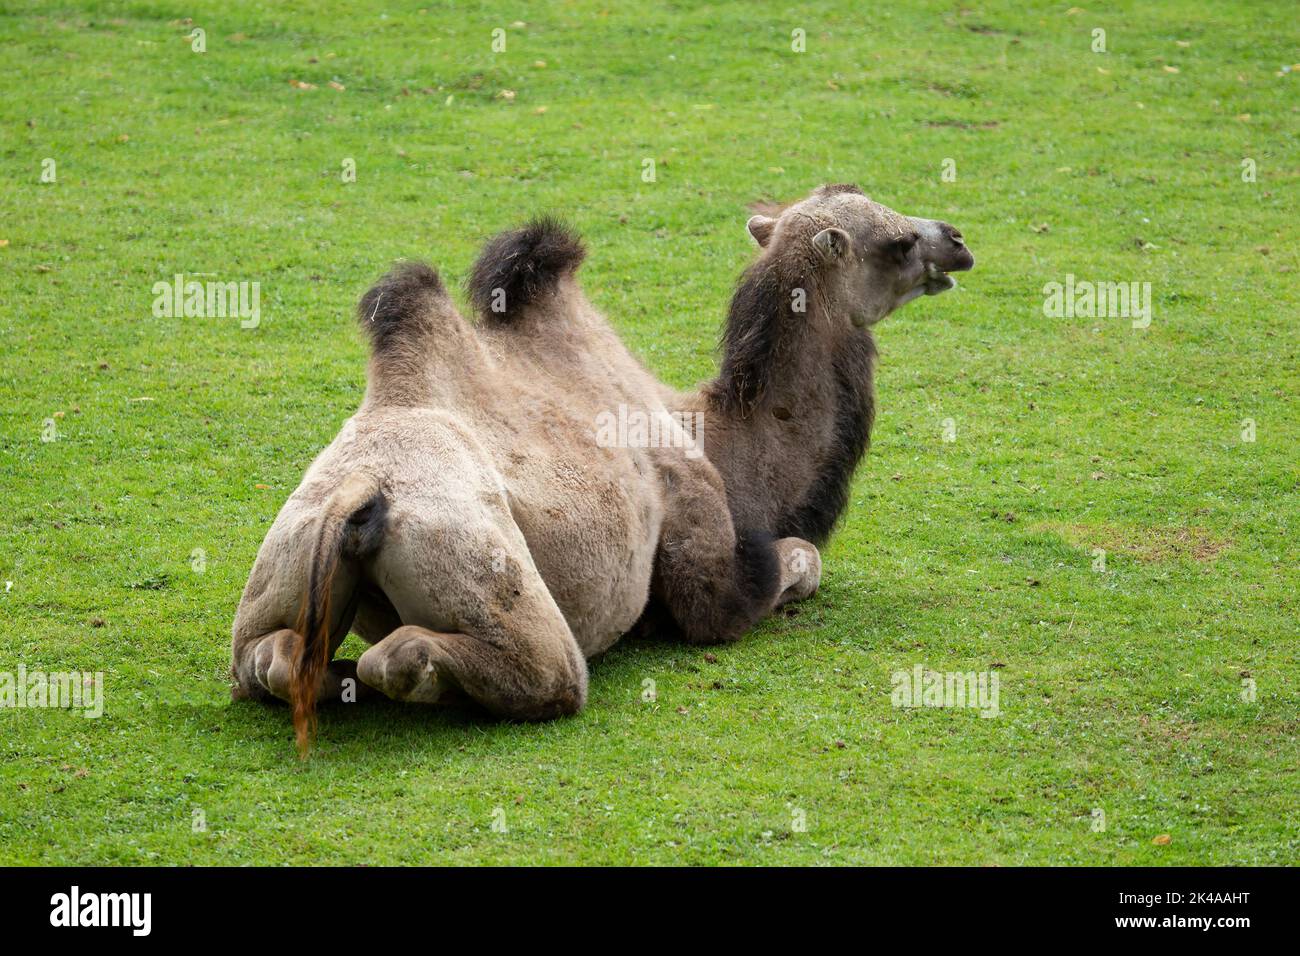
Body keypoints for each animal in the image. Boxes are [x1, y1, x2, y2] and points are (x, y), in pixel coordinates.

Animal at [229, 184, 974, 752]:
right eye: (897, 242)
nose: (957, 238)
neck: (714, 433)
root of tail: (358, 494)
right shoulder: (705, 540)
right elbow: (792, 566)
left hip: (284, 559)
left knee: (269, 658)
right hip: (482, 562)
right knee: (486, 664)